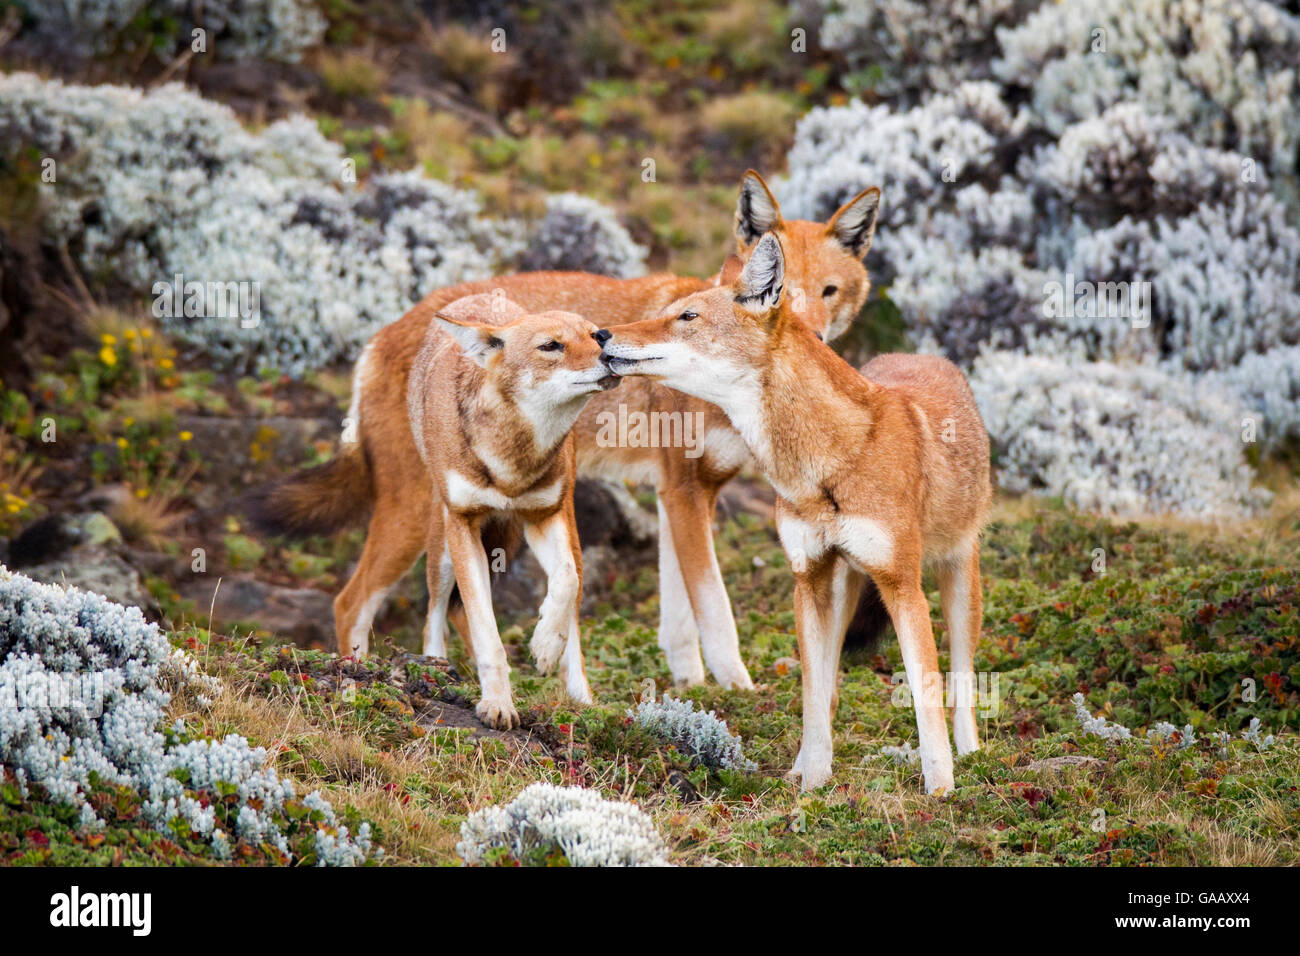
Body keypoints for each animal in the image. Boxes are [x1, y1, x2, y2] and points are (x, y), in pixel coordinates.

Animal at [405, 293, 617, 726]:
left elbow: (565, 584)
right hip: (443, 544)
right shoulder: (464, 525)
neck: (513, 463)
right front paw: (498, 704)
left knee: (572, 602)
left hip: (568, 530)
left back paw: (582, 700)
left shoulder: (544, 518)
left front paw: (544, 646)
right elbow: (486, 631)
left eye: (595, 335)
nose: (609, 348)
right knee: (436, 612)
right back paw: (435, 667)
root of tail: (478, 296)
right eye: (551, 346)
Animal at [598, 226, 993, 794]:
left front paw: (940, 789)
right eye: (670, 311)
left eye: (687, 316)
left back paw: (973, 756)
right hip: (844, 587)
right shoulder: (807, 579)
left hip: (957, 583)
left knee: (961, 681)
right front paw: (811, 781)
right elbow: (812, 694)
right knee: (830, 688)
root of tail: (921, 355)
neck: (829, 466)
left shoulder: (902, 585)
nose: (601, 334)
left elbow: (926, 692)